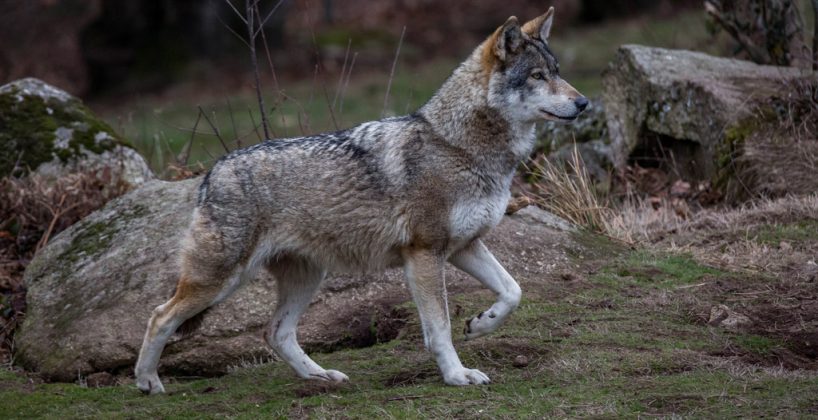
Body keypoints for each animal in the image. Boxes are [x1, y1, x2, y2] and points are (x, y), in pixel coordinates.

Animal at [135, 7, 586, 394]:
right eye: (537, 75)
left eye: (558, 73)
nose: (583, 102)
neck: (460, 146)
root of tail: (212, 172)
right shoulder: (425, 253)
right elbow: (438, 327)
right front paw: (457, 375)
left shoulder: (464, 247)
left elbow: (513, 291)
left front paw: (480, 324)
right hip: (222, 281)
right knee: (159, 316)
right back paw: (148, 382)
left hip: (306, 278)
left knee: (275, 332)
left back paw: (321, 376)